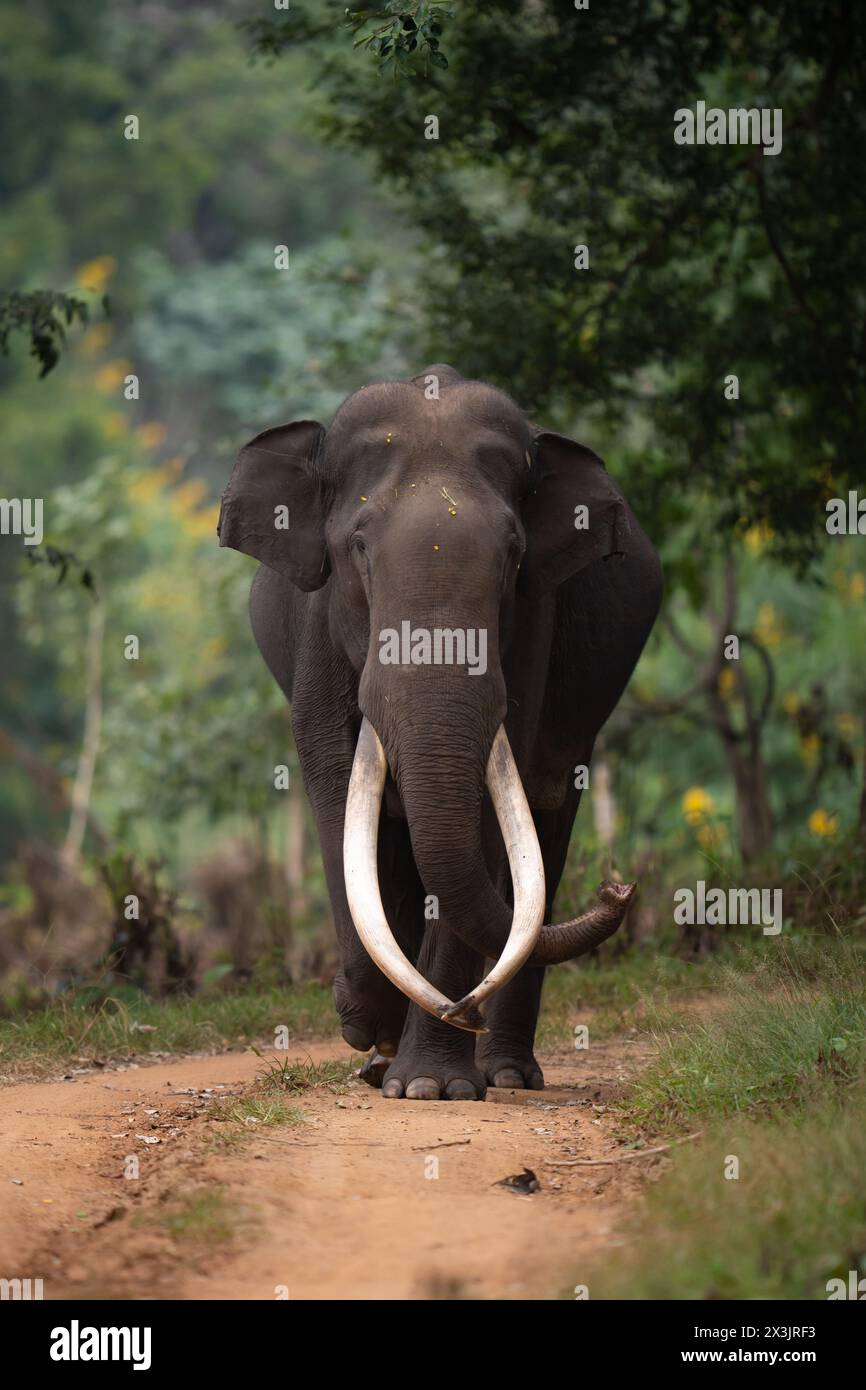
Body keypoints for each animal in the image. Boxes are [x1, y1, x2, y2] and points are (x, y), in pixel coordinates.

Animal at [218, 364, 662, 1100]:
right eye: (358, 551)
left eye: (513, 556)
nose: (618, 887)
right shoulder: (318, 628)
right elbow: (334, 786)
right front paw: (367, 1027)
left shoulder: (533, 625)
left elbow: (487, 810)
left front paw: (428, 1085)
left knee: (544, 828)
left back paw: (505, 1072)